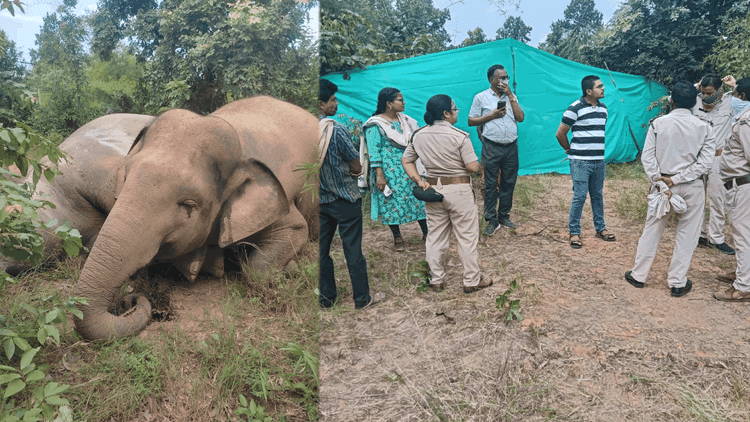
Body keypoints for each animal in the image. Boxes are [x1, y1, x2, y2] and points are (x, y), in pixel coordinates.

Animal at [2, 97, 319, 340]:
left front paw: (289, 270)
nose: (129, 301)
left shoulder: (89, 165)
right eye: (126, 177)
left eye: (189, 205)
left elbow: (293, 229)